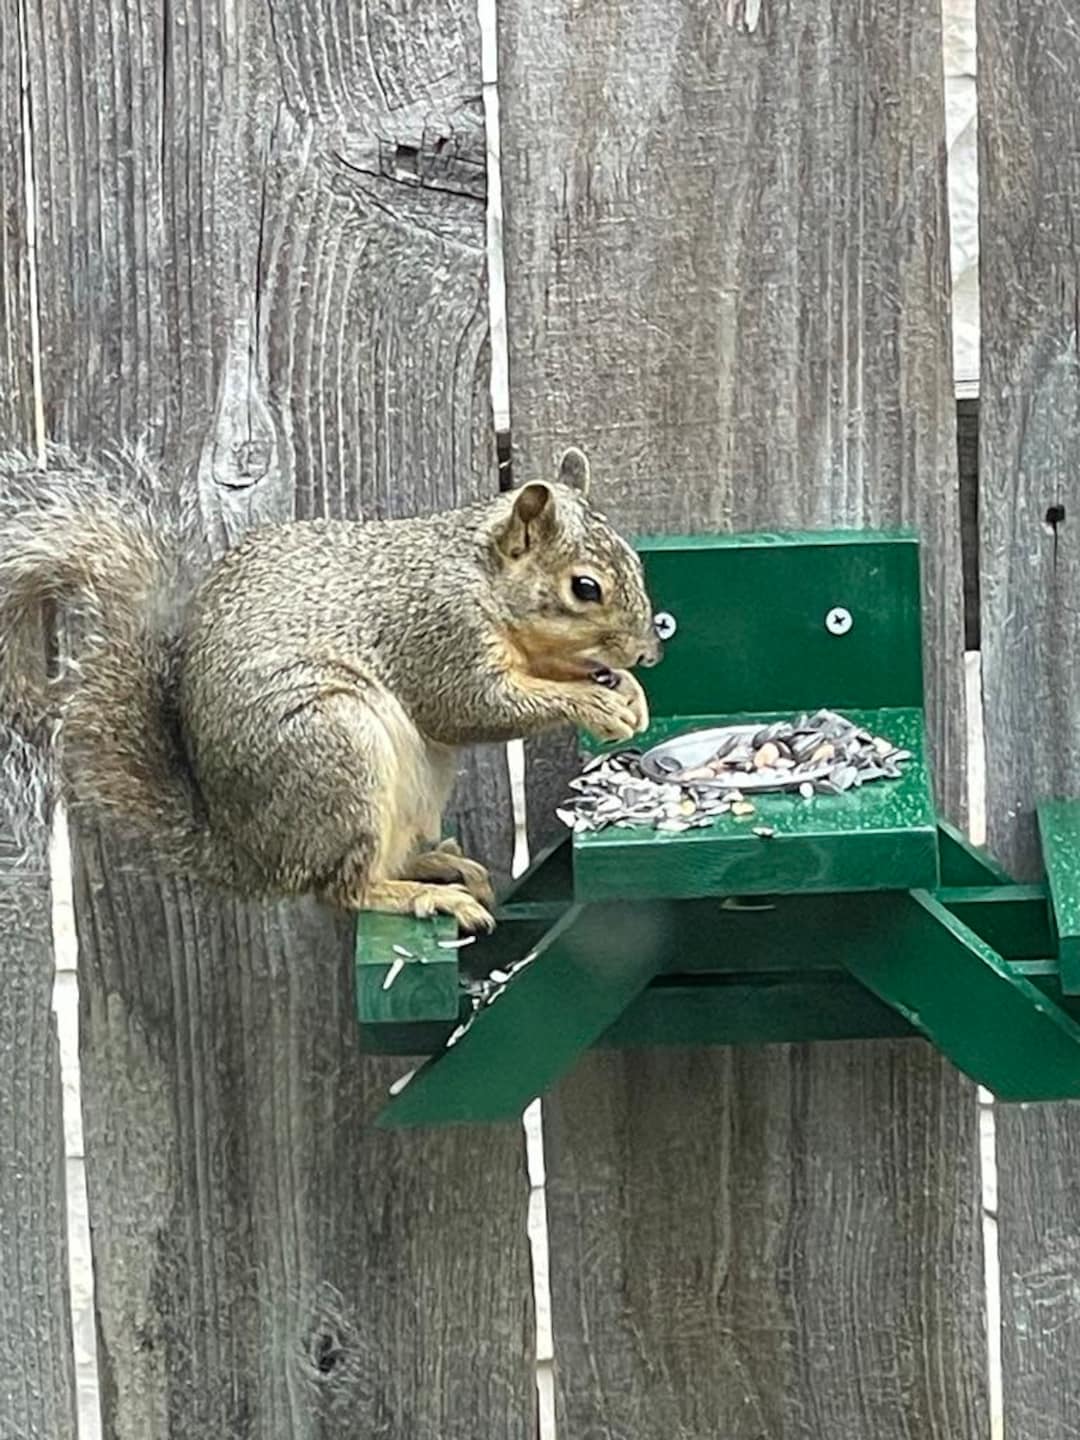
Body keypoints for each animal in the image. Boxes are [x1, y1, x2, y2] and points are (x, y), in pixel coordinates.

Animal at [0, 444, 660, 931]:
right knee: (342, 889)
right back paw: (422, 895)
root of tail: (251, 853)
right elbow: (472, 707)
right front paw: (593, 702)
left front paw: (627, 691)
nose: (648, 652)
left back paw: (438, 865)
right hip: (337, 752)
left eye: (636, 563)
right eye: (585, 587)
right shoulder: (440, 634)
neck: (481, 577)